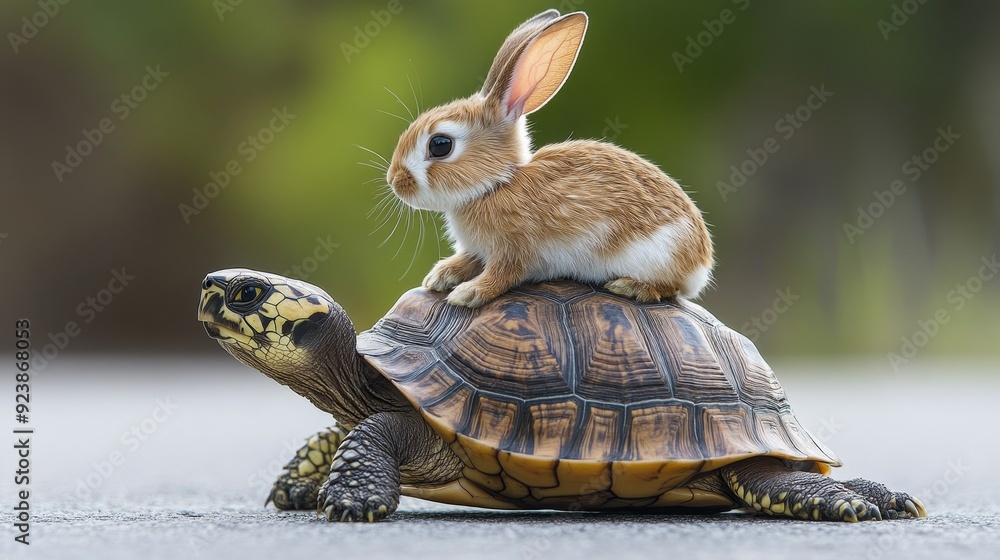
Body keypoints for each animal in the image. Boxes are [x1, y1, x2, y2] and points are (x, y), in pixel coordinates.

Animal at [386, 9, 713, 308]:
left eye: (440, 145)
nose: (395, 181)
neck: (497, 185)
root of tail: (701, 264)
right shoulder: (480, 250)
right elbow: (468, 259)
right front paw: (440, 276)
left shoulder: (515, 250)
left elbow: (502, 275)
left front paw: (468, 293)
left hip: (659, 252)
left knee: (670, 288)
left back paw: (631, 287)